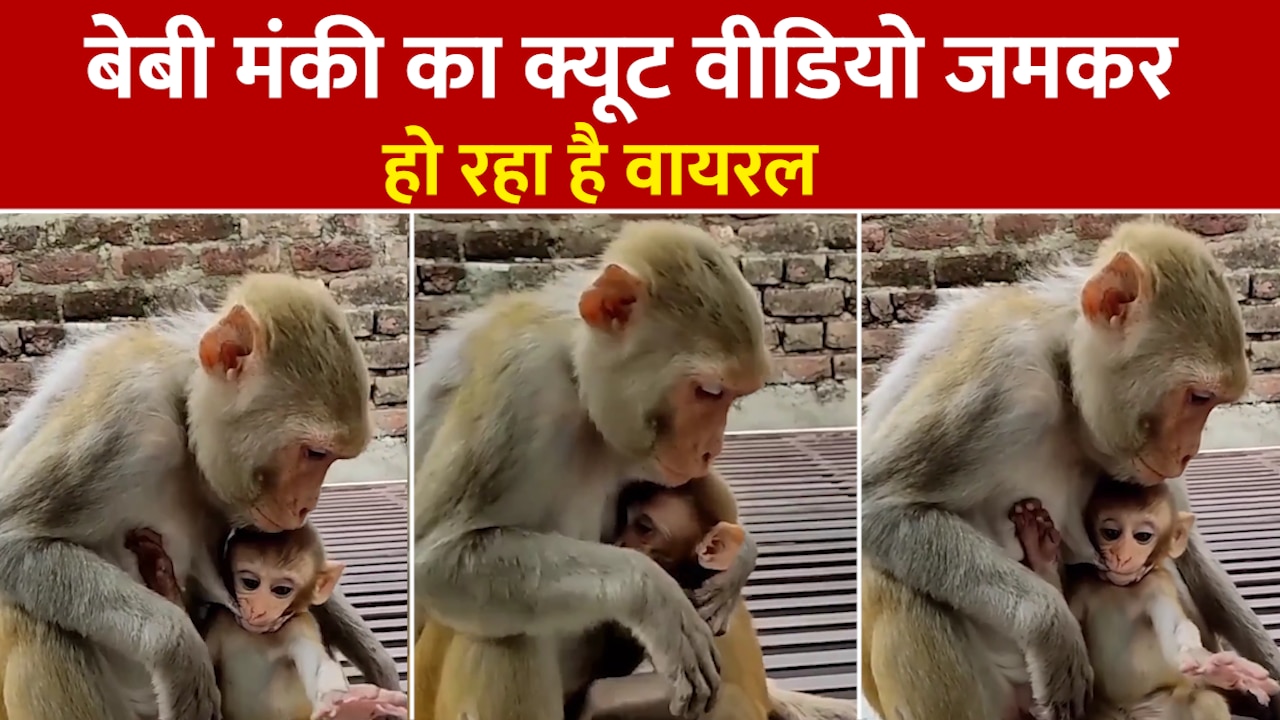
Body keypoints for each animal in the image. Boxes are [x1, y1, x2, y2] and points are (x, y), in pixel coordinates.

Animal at [126, 525, 409, 720]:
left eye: (281, 590)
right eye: (250, 582)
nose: (258, 609)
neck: (256, 635)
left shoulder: (299, 628)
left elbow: (317, 665)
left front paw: (347, 707)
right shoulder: (222, 620)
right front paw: (159, 570)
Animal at [413, 221, 773, 720]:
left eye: (732, 396)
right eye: (709, 392)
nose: (710, 449)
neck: (575, 374)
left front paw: (739, 560)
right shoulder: (519, 380)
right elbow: (433, 561)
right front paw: (652, 596)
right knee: (504, 636)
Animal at [1010, 483, 1279, 720]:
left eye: (1142, 536)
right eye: (1111, 533)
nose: (1122, 556)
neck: (1122, 587)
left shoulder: (1157, 586)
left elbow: (1175, 628)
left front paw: (1216, 667)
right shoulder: (1085, 588)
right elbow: (1065, 616)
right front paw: (1041, 553)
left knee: (1206, 702)